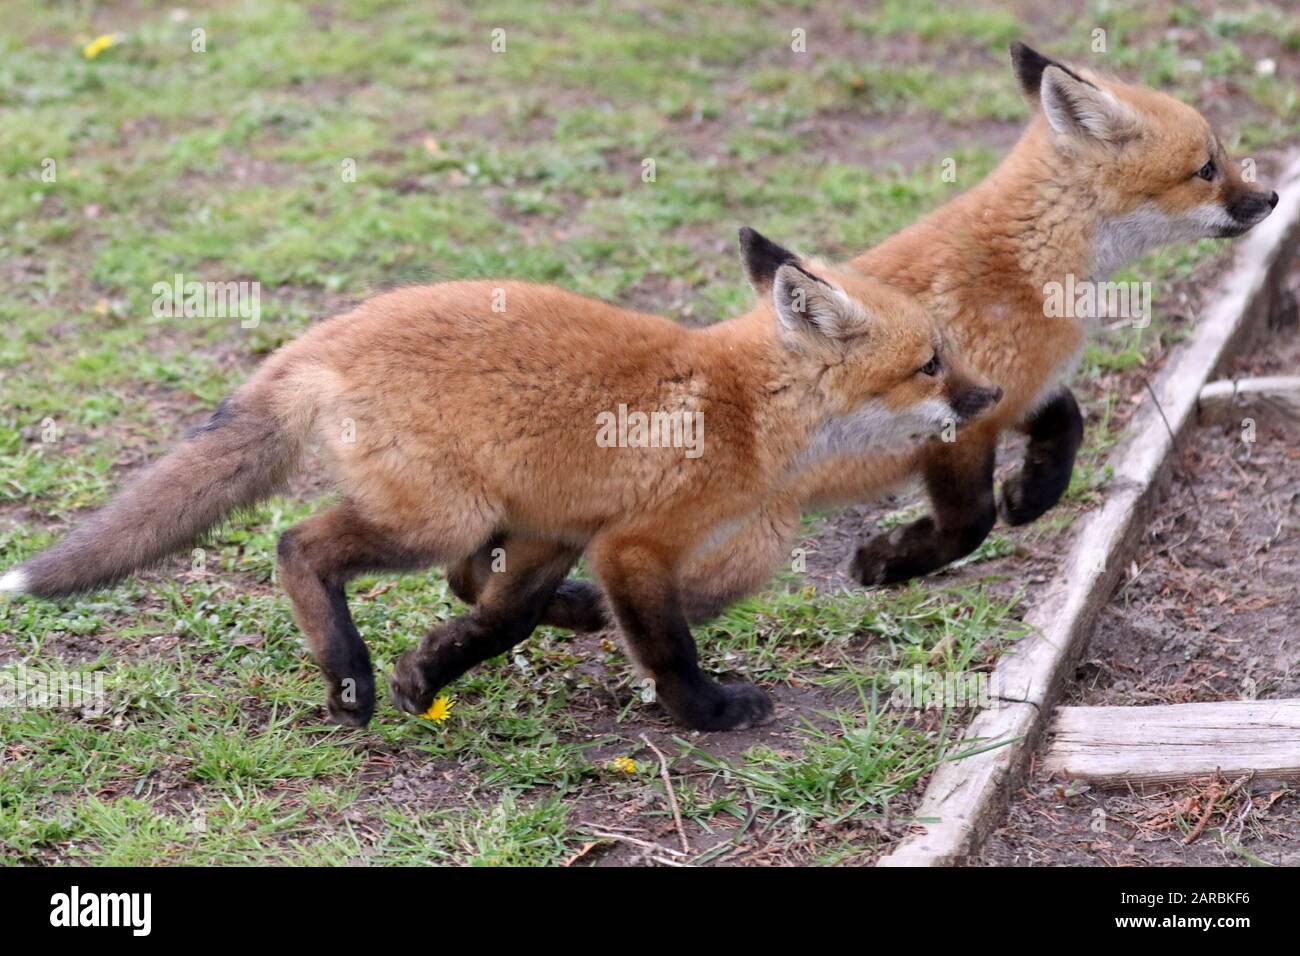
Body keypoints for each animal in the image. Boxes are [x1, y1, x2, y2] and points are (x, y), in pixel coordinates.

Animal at [0, 229, 1001, 731]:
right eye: (930, 363)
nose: (991, 394)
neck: (747, 409)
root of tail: (318, 338)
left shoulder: (559, 531)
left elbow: (503, 617)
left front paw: (434, 666)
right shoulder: (634, 545)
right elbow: (667, 646)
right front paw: (708, 712)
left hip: (473, 511)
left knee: (424, 568)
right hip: (441, 514)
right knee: (297, 544)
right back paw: (349, 679)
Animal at [447, 42, 1281, 636]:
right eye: (1207, 168)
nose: (1272, 196)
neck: (1024, 266)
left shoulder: (1003, 390)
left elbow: (1065, 425)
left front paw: (1033, 494)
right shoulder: (960, 425)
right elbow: (968, 524)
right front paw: (892, 559)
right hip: (749, 546)